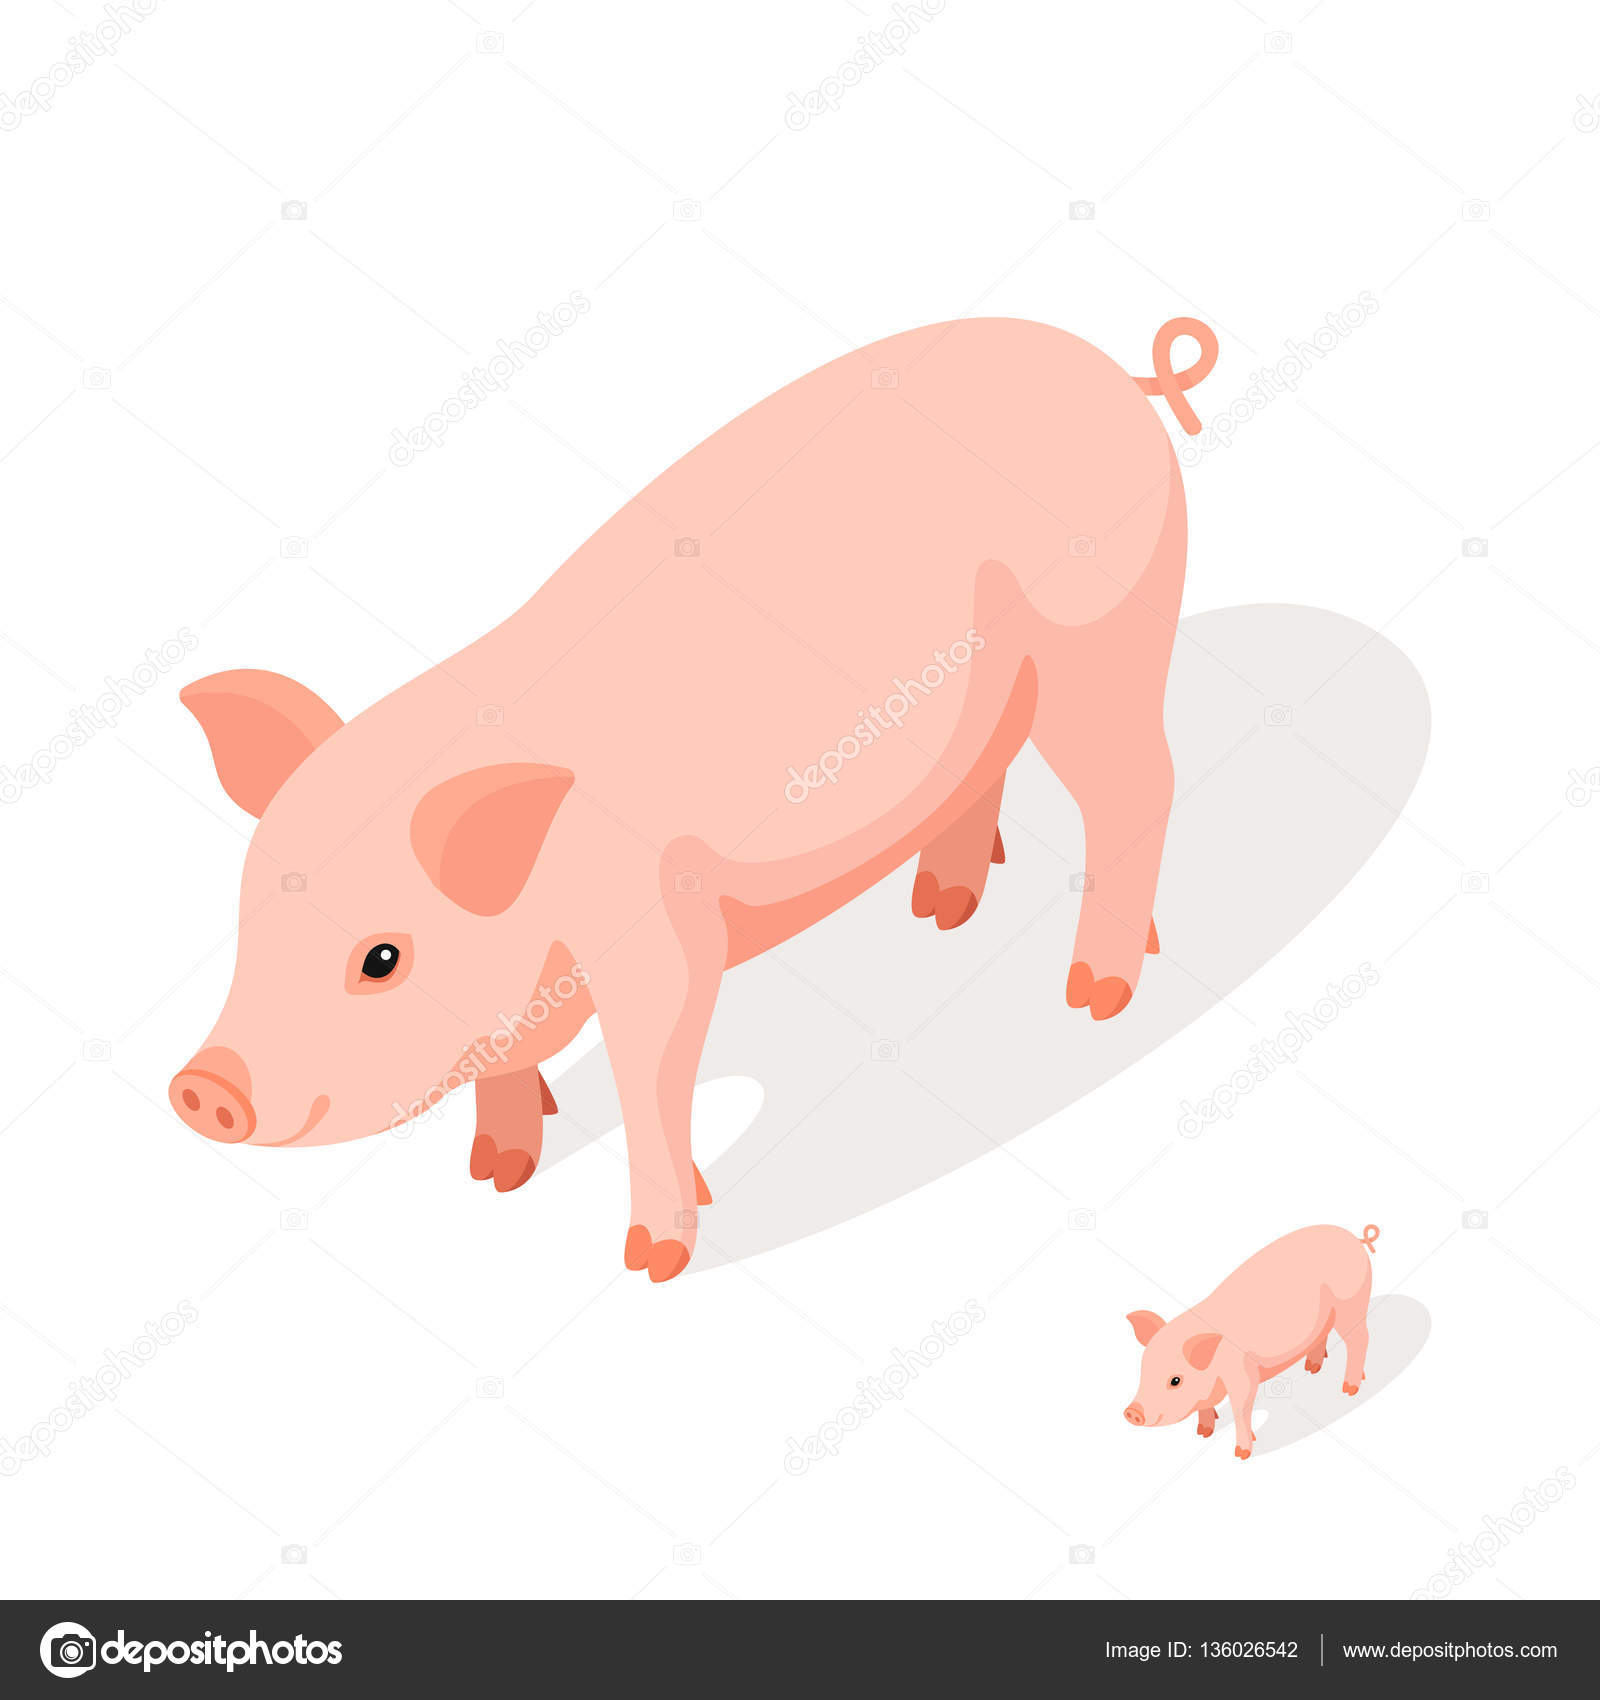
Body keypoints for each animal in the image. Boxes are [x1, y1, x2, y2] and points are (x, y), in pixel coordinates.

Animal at [169, 314, 1218, 1282]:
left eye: (381, 959)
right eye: (251, 915)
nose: (202, 1088)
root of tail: (1112, 374)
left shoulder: (663, 937)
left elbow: (651, 1078)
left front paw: (654, 1261)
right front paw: (496, 1179)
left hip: (1104, 635)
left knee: (1142, 782)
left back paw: (1096, 997)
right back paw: (943, 913)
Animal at [1124, 1224, 1380, 1457]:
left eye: (1175, 1380)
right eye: (1144, 1369)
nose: (1132, 1412)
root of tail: (1355, 1239)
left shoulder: (1243, 1375)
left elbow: (1241, 1409)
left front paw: (1242, 1454)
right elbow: (1205, 1405)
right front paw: (1203, 1433)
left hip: (1351, 1305)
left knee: (1360, 1339)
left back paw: (1349, 1389)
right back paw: (1313, 1369)